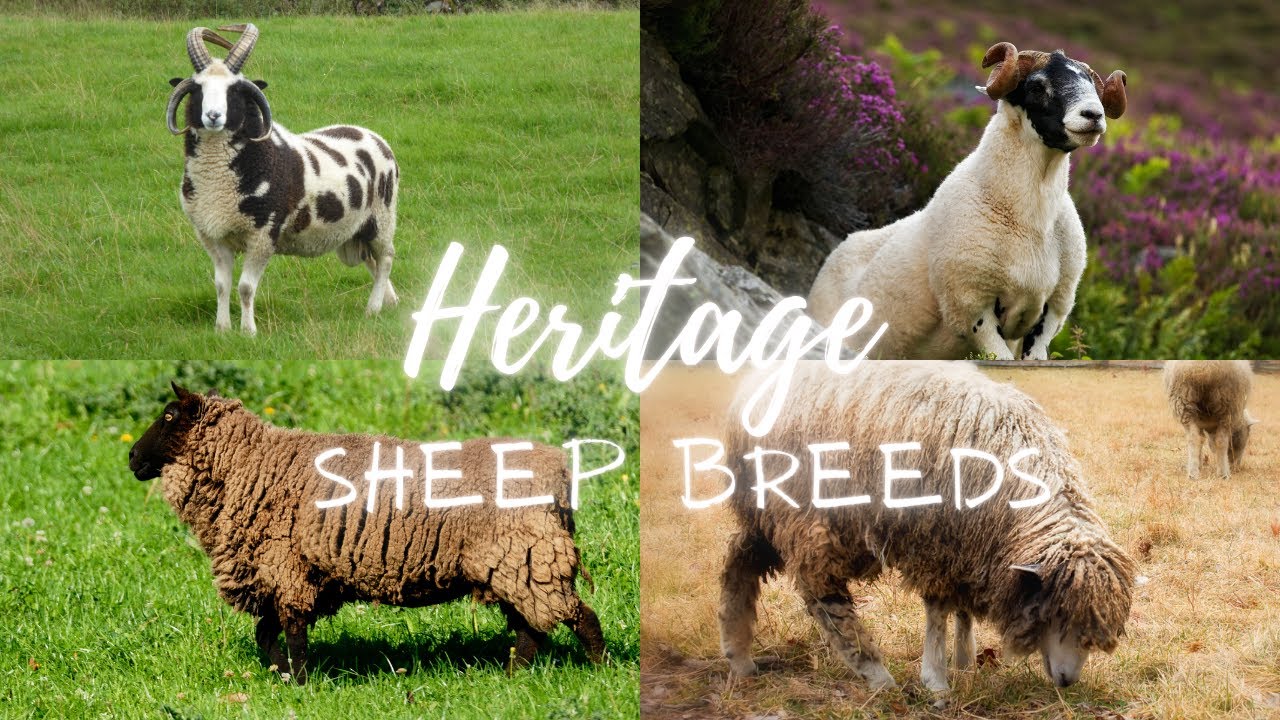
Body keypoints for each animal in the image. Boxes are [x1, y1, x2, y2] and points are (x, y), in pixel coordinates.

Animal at [127, 383, 605, 684]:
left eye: (168, 415)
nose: (131, 457)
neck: (253, 464)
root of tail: (559, 471)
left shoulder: (287, 566)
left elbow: (292, 632)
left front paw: (302, 683)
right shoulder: (291, 572)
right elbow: (266, 633)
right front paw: (283, 675)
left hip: (526, 554)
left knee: (578, 617)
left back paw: (601, 671)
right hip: (516, 562)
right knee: (533, 628)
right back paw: (512, 679)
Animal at [165, 24, 399, 335]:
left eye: (235, 91)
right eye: (197, 88)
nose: (213, 116)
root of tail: (373, 136)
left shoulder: (264, 234)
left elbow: (245, 288)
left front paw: (249, 332)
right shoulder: (213, 236)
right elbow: (221, 285)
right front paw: (222, 329)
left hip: (382, 219)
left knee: (385, 259)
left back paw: (373, 309)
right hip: (357, 231)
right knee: (372, 262)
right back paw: (390, 302)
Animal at [718, 361, 1135, 697]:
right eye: (1056, 615)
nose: (1068, 682)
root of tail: (748, 389)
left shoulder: (969, 546)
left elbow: (962, 607)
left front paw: (965, 662)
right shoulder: (935, 542)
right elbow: (938, 609)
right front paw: (936, 679)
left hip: (766, 513)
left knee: (739, 561)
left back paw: (739, 657)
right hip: (808, 515)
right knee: (820, 591)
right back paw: (876, 674)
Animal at [808, 42, 1128, 360]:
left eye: (1092, 86)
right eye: (1037, 85)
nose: (1093, 115)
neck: (1030, 220)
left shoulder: (1052, 310)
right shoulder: (971, 306)